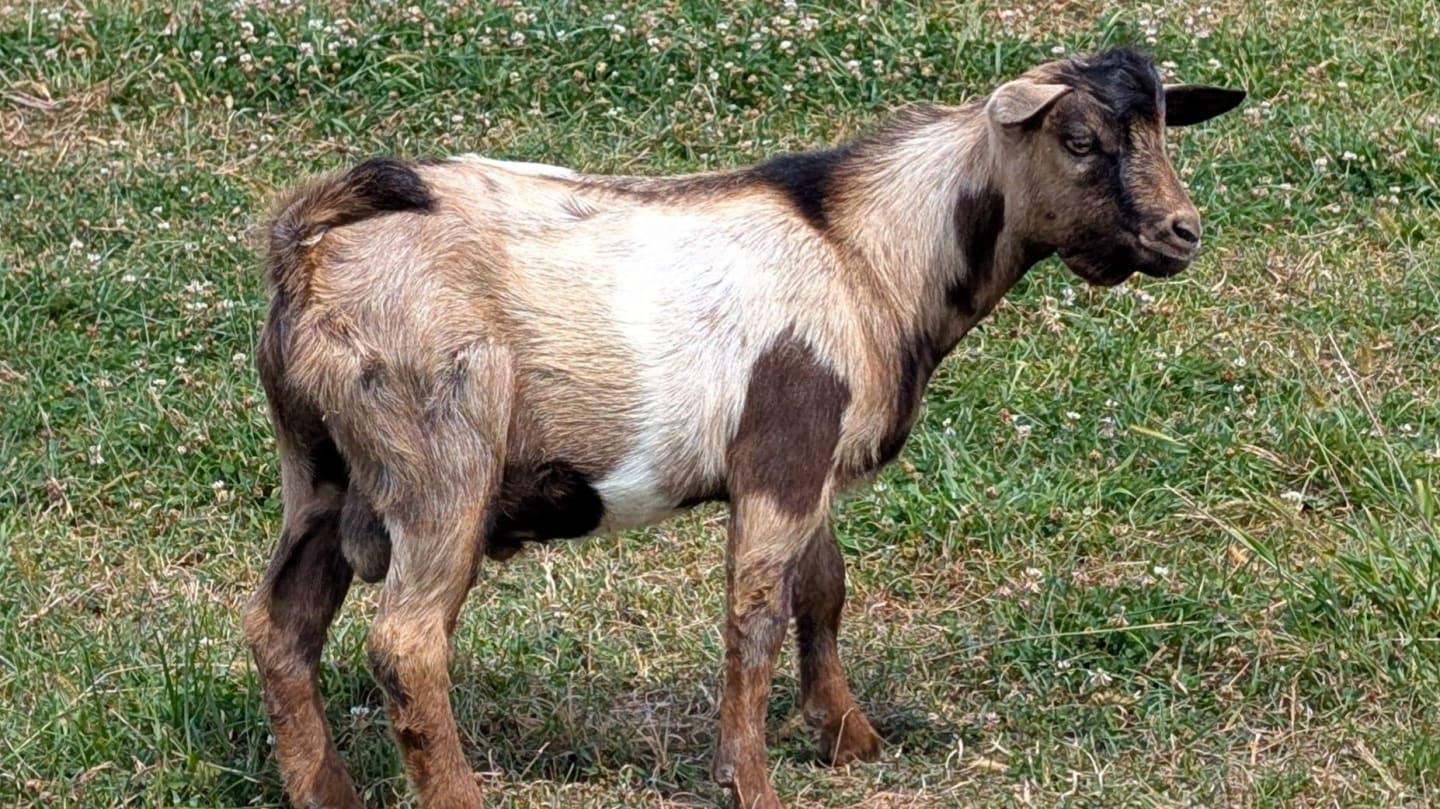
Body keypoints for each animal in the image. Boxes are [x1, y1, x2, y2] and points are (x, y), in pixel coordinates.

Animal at [244, 48, 1243, 809]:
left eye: (1164, 129)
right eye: (1079, 140)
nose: (1182, 231)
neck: (863, 253)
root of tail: (308, 248)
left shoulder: (815, 457)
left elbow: (823, 589)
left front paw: (850, 737)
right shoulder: (781, 449)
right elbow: (754, 615)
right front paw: (752, 782)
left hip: (319, 468)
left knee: (279, 624)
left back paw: (326, 791)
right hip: (438, 460)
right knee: (406, 643)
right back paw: (455, 796)